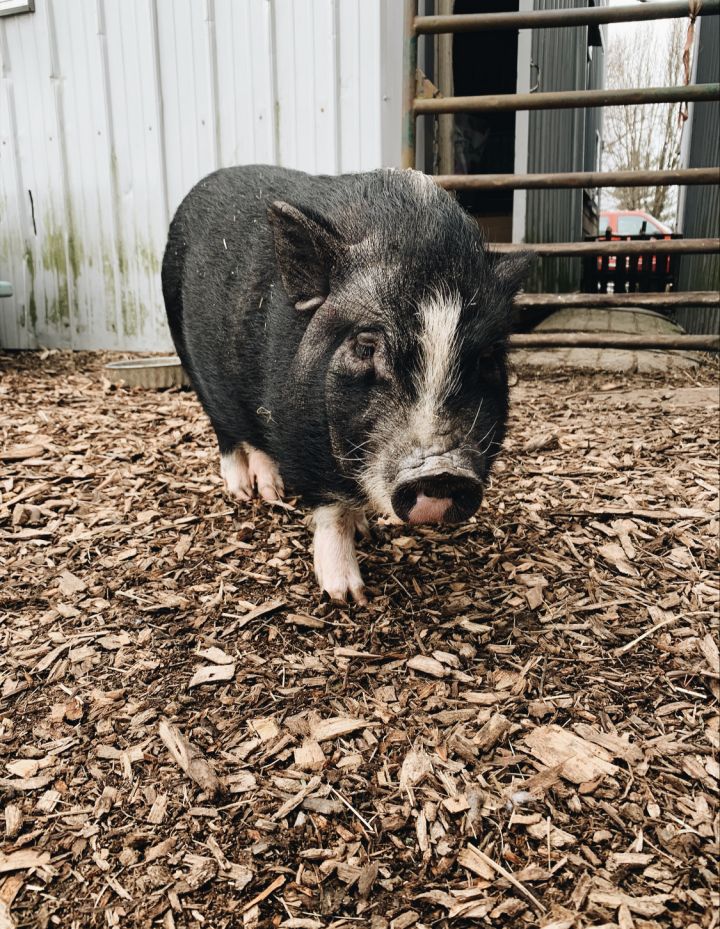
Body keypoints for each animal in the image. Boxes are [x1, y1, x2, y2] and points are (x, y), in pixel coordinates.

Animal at [162, 165, 529, 604]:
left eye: (487, 357)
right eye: (366, 346)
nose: (442, 470)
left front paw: (364, 531)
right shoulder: (301, 435)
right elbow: (331, 509)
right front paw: (348, 596)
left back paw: (273, 493)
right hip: (187, 357)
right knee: (226, 432)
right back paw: (244, 494)